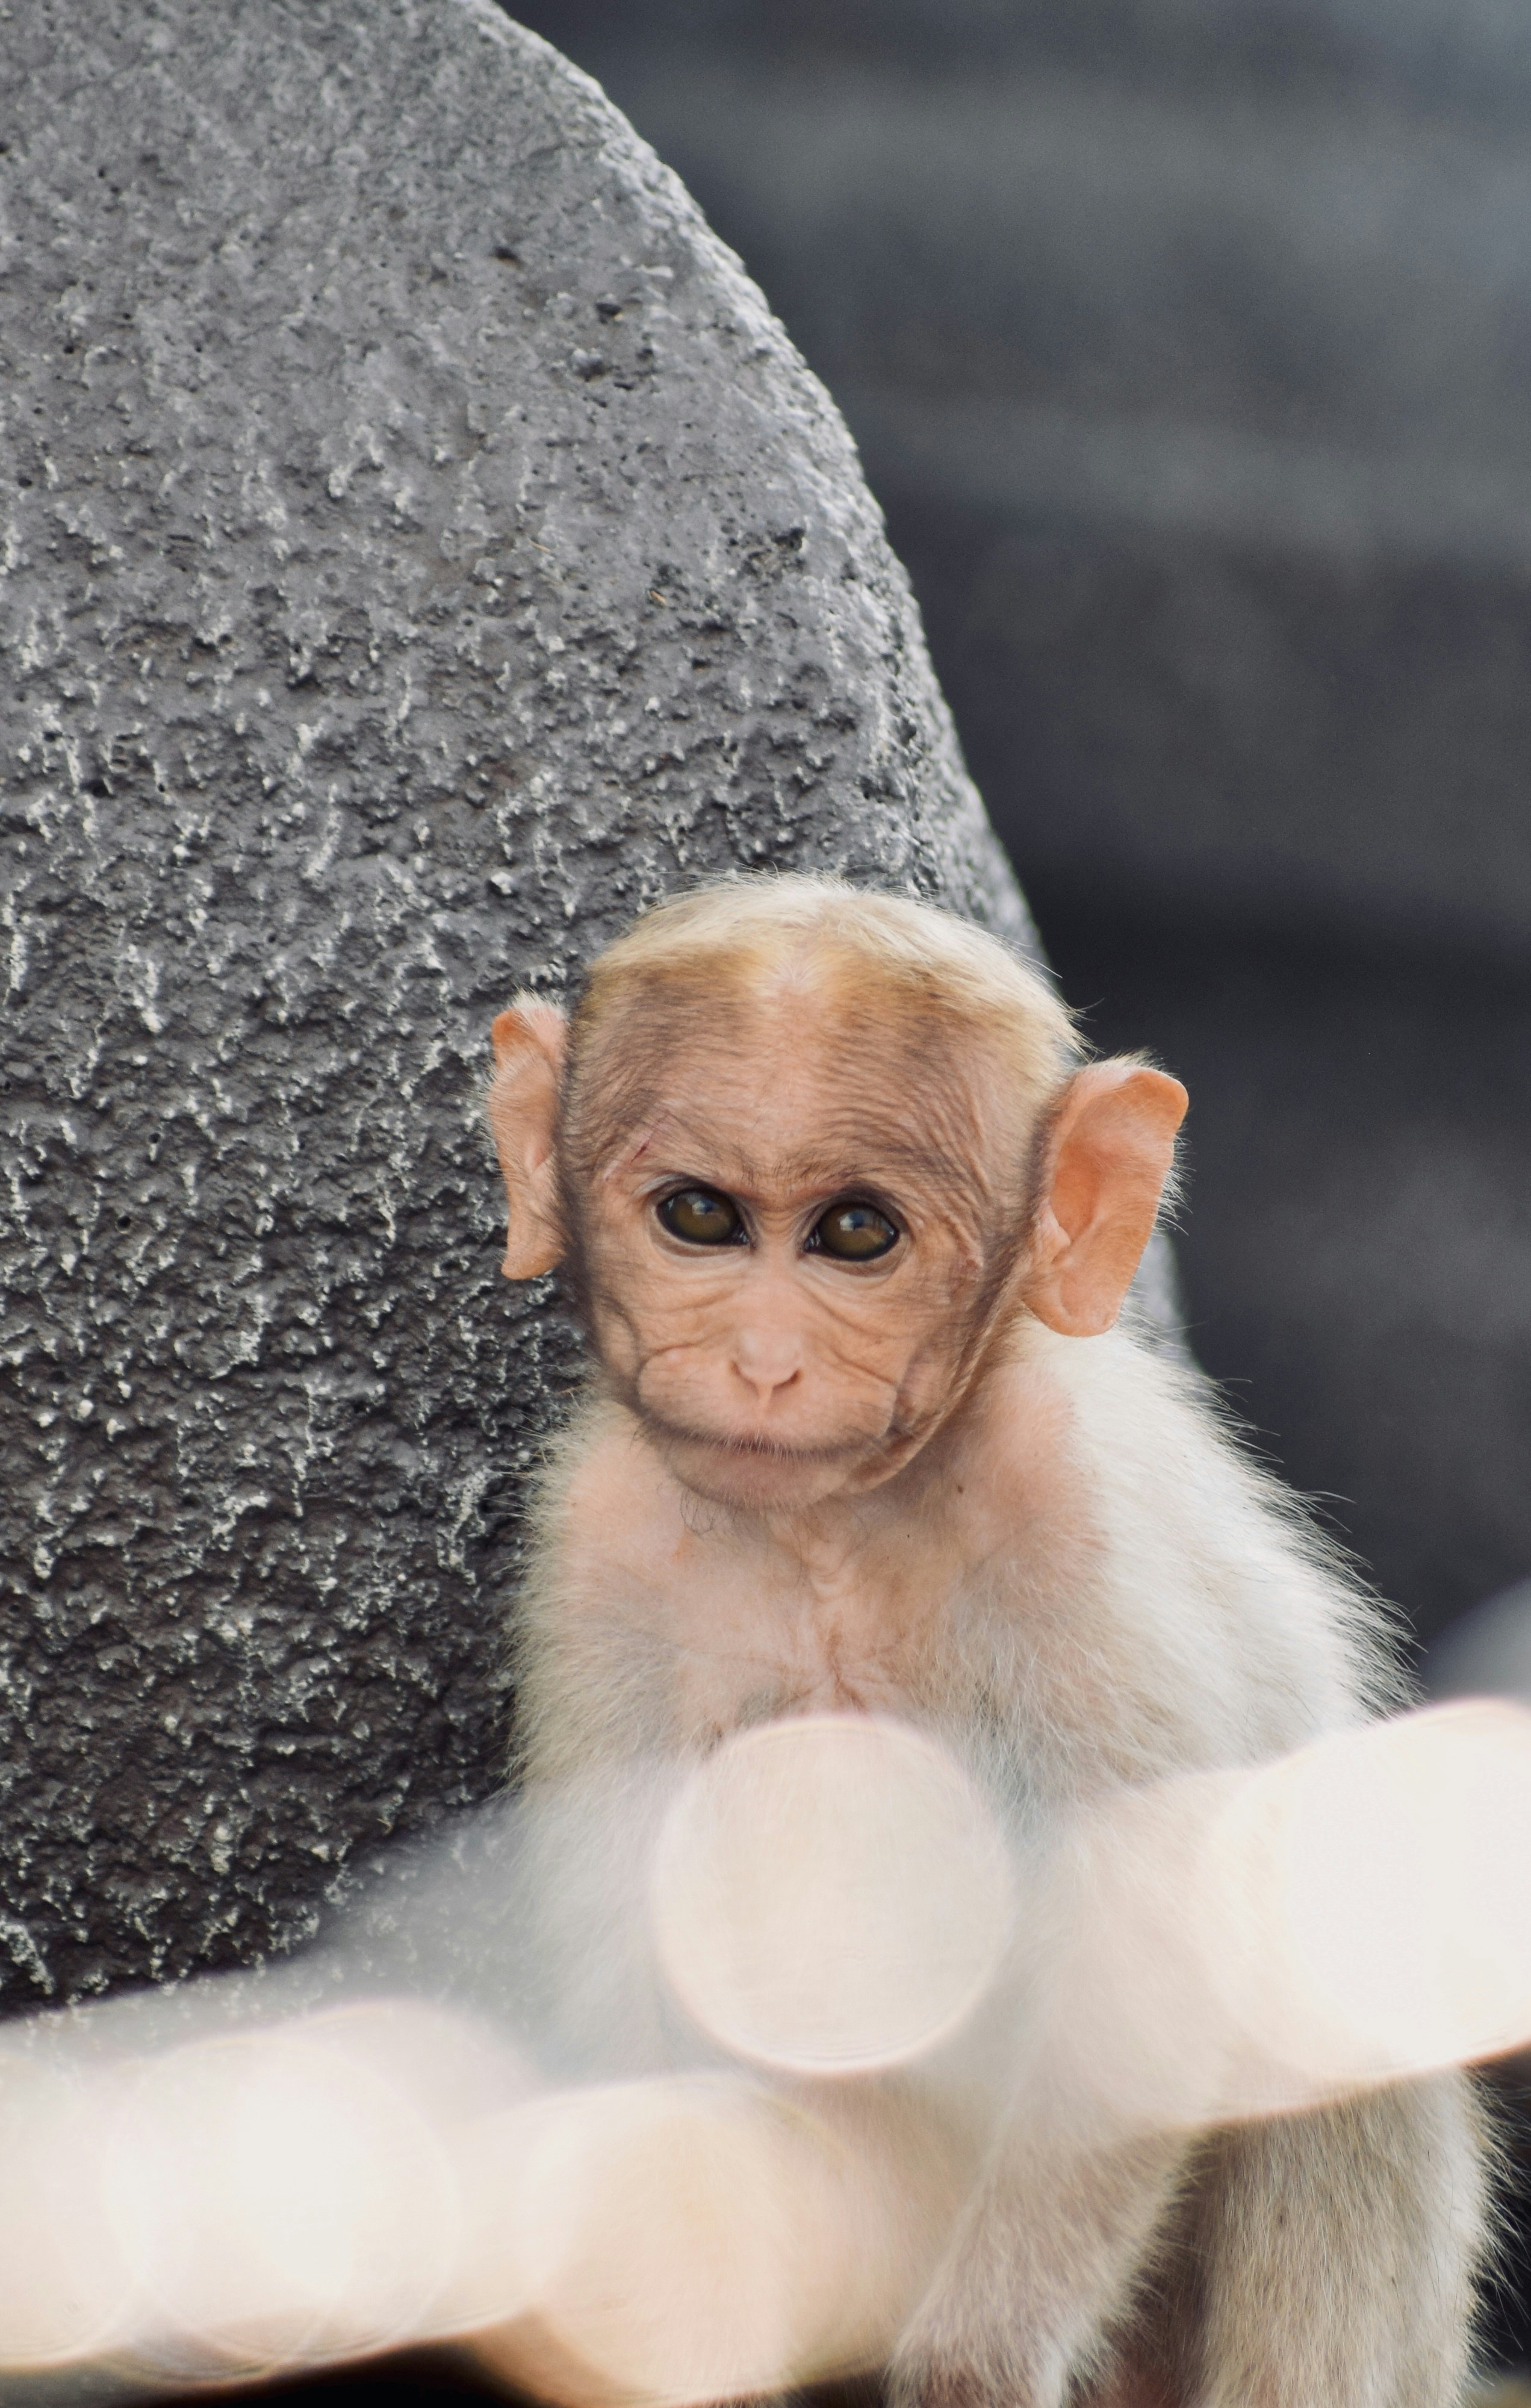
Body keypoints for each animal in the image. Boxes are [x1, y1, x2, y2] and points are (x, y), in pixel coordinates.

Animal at [485, 875, 1489, 2408]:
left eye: (855, 1234)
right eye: (698, 1215)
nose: (763, 1364)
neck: (833, 1533)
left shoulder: (1071, 1506)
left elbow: (1158, 1955)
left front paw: (971, 2371)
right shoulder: (593, 1541)